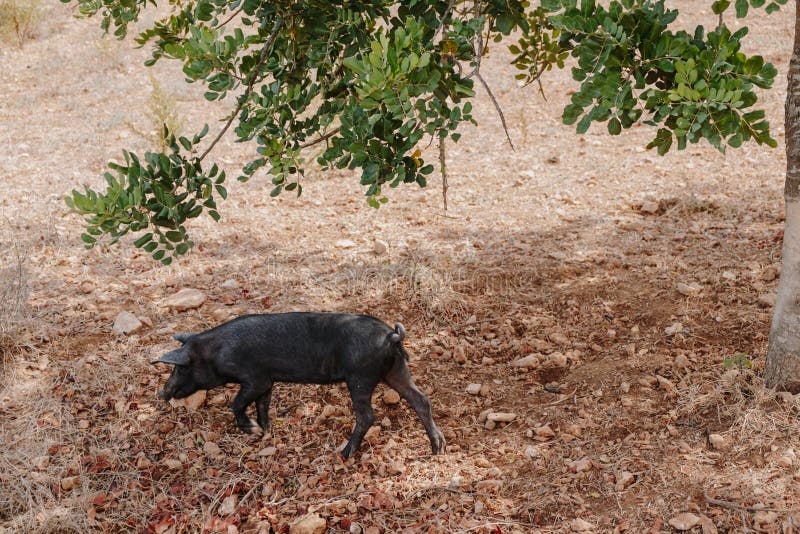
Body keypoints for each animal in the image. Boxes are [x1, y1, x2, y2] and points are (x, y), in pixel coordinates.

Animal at [152, 312, 445, 458]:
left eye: (180, 366)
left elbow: (237, 403)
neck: (216, 353)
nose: (163, 392)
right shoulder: (267, 381)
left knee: (367, 415)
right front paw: (265, 431)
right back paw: (437, 448)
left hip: (360, 376)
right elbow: (262, 405)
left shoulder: (255, 377)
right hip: (395, 370)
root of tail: (391, 335)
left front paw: (252, 429)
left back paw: (344, 454)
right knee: (421, 400)